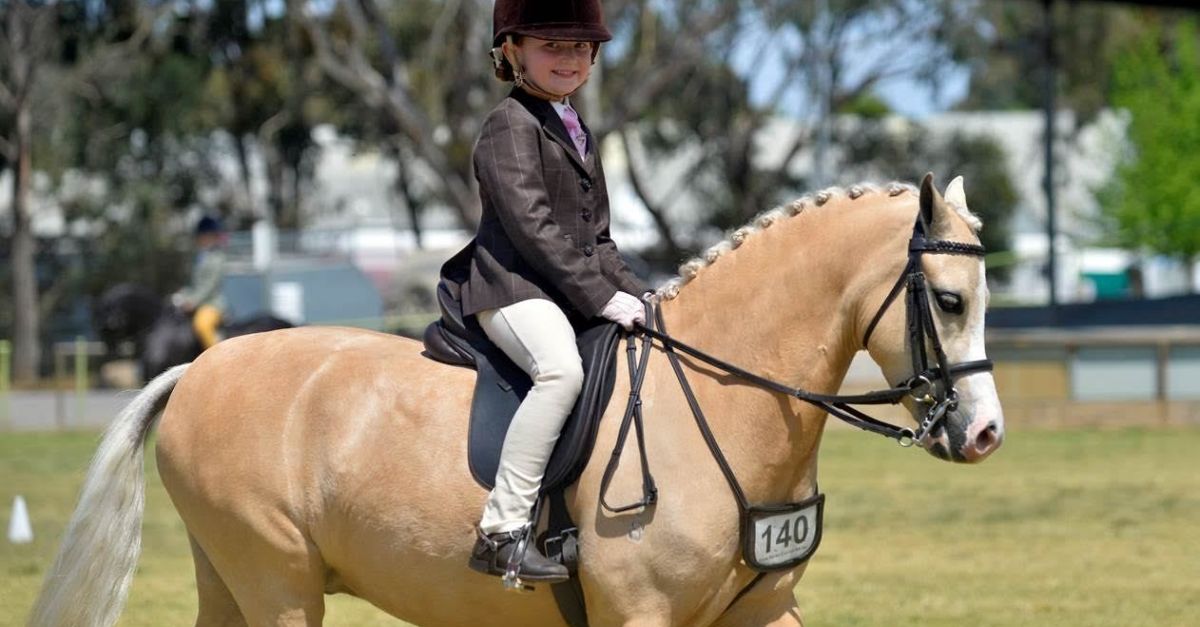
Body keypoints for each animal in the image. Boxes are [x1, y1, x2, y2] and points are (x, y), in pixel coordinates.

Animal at [32, 175, 1004, 627]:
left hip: (234, 576)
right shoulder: (640, 614)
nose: (986, 432)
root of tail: (199, 369)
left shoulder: (762, 609)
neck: (727, 400)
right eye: (948, 300)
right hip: (279, 582)